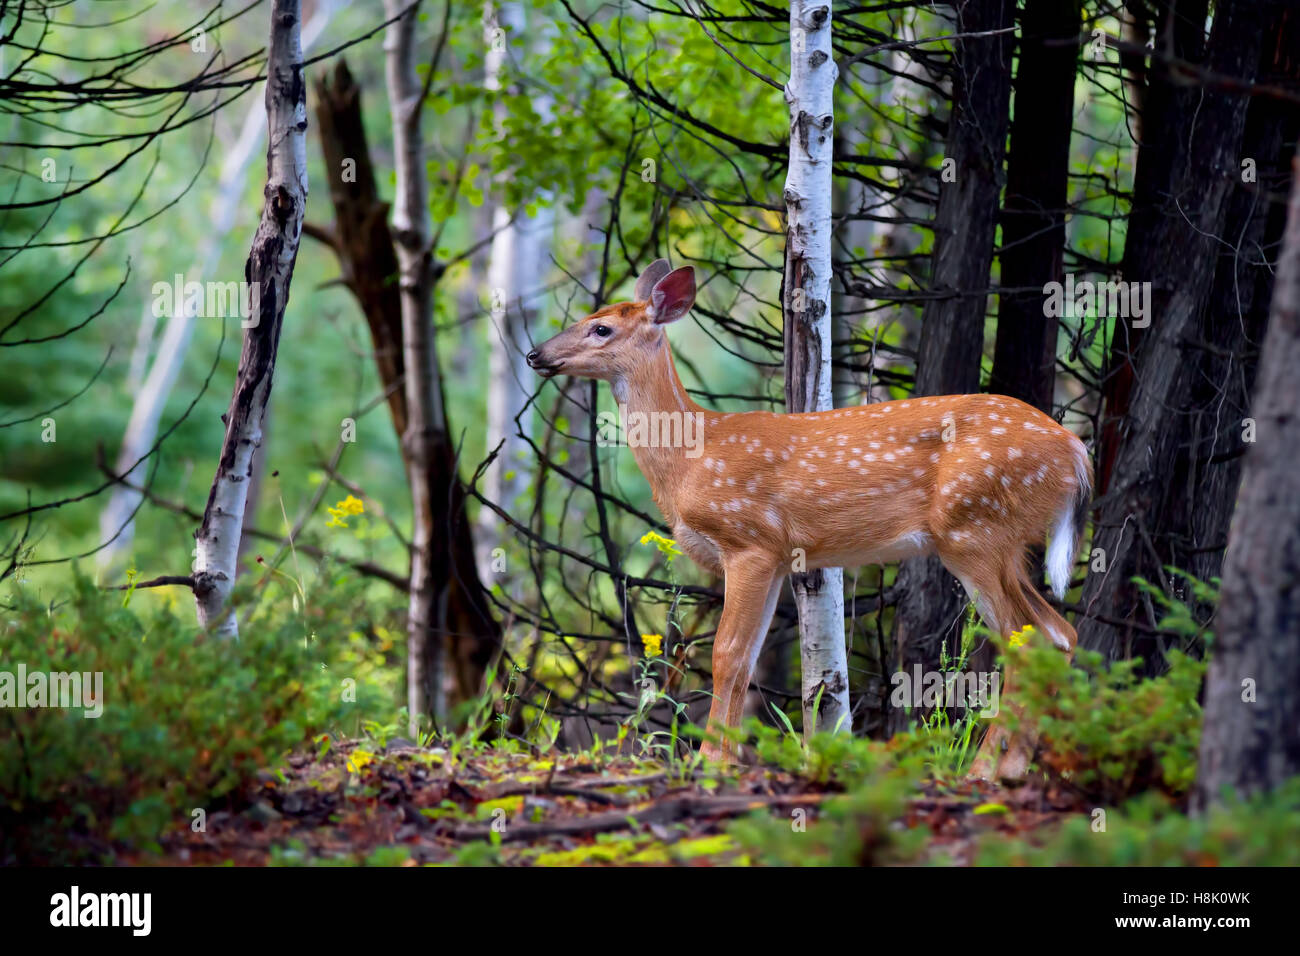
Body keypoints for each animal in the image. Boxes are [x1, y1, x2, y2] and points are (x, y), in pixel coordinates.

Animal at [526, 259, 1092, 778]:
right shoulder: (777, 559)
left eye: (602, 328)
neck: (691, 457)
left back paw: (984, 770)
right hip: (1000, 541)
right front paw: (728, 758)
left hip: (975, 529)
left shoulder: (749, 540)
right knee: (1061, 634)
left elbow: (726, 654)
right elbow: (746, 660)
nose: (536, 354)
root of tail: (1076, 451)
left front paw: (710, 762)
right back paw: (1009, 767)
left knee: (1032, 639)